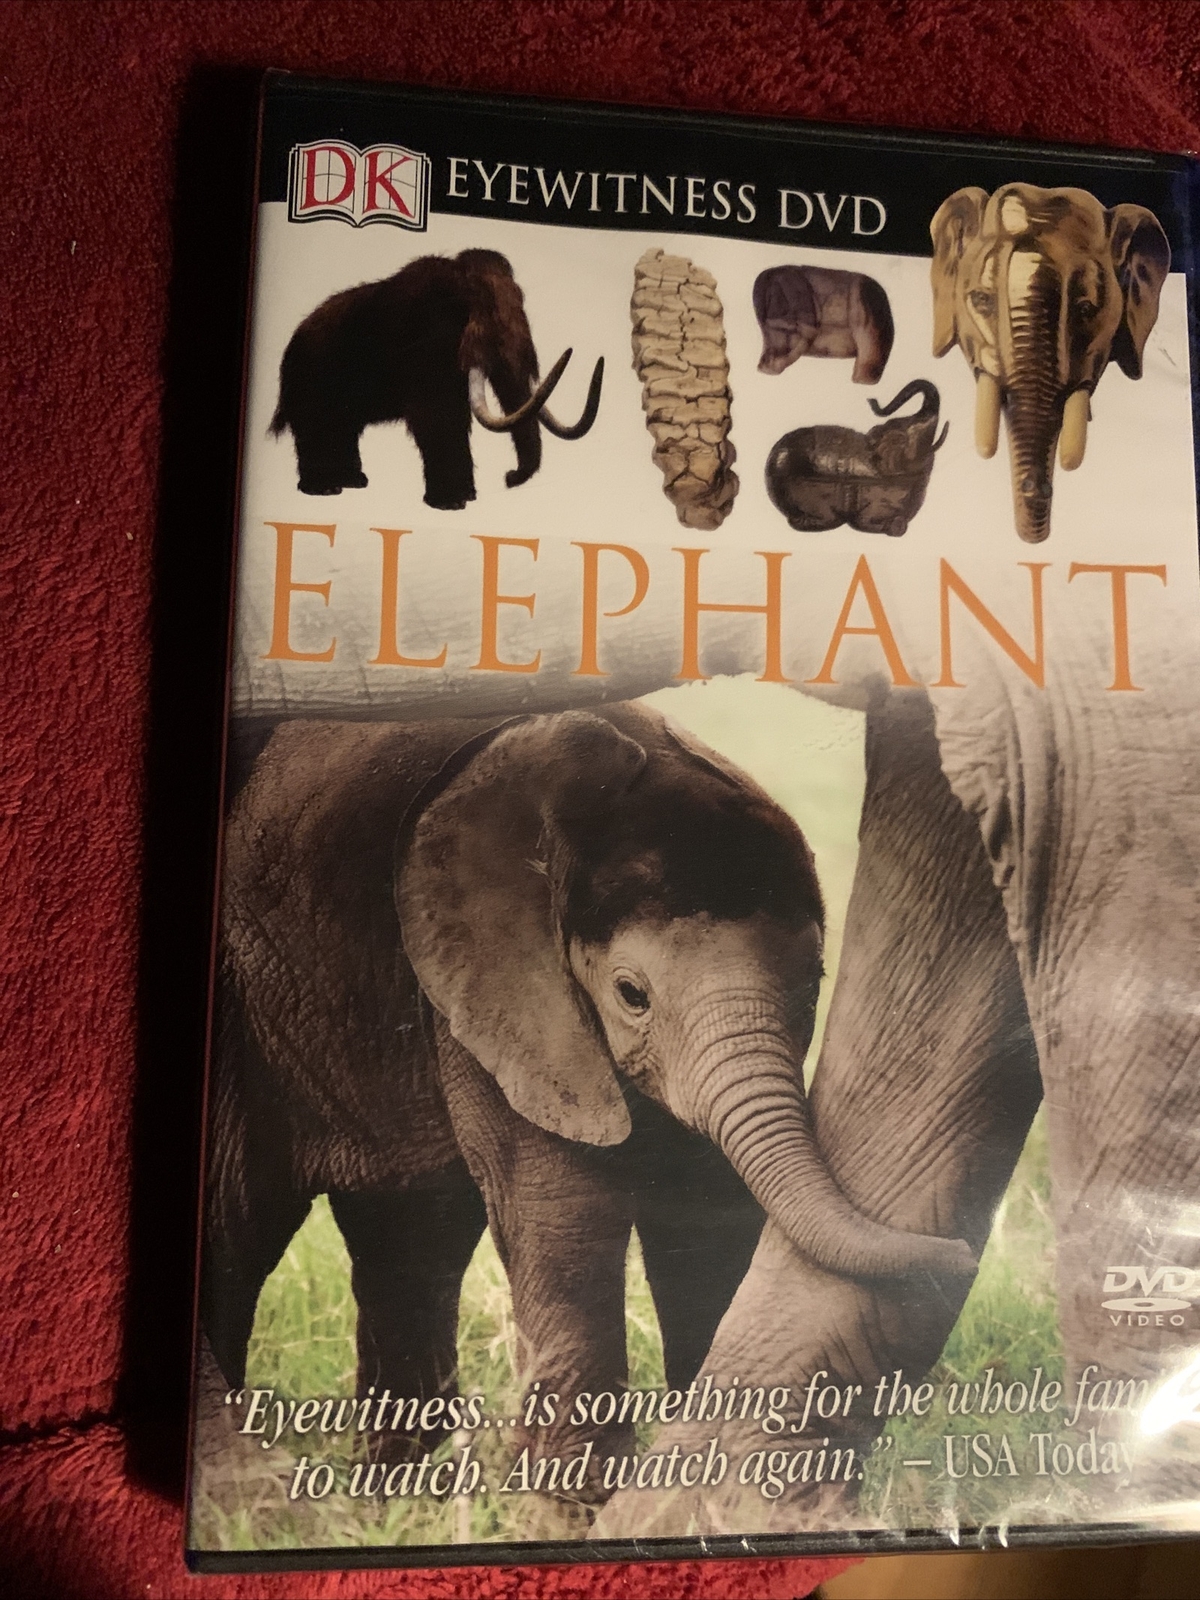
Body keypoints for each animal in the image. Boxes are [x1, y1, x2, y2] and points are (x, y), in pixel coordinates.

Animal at [201, 702, 974, 1480]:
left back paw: (398, 1487)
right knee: (238, 1231)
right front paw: (579, 1493)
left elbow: (706, 1212)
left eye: (813, 982)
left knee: (410, 1236)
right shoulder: (499, 989)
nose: (964, 1253)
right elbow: (567, 1206)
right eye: (631, 994)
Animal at [269, 247, 604, 507]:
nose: (509, 477)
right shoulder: (422, 350)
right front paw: (451, 503)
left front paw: (467, 497)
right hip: (309, 376)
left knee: (345, 428)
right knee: (318, 426)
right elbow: (438, 415)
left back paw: (354, 481)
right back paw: (323, 489)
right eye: (478, 320)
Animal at [764, 378, 947, 535]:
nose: (872, 400)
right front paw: (895, 526)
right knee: (824, 515)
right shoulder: (876, 494)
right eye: (906, 437)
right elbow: (864, 521)